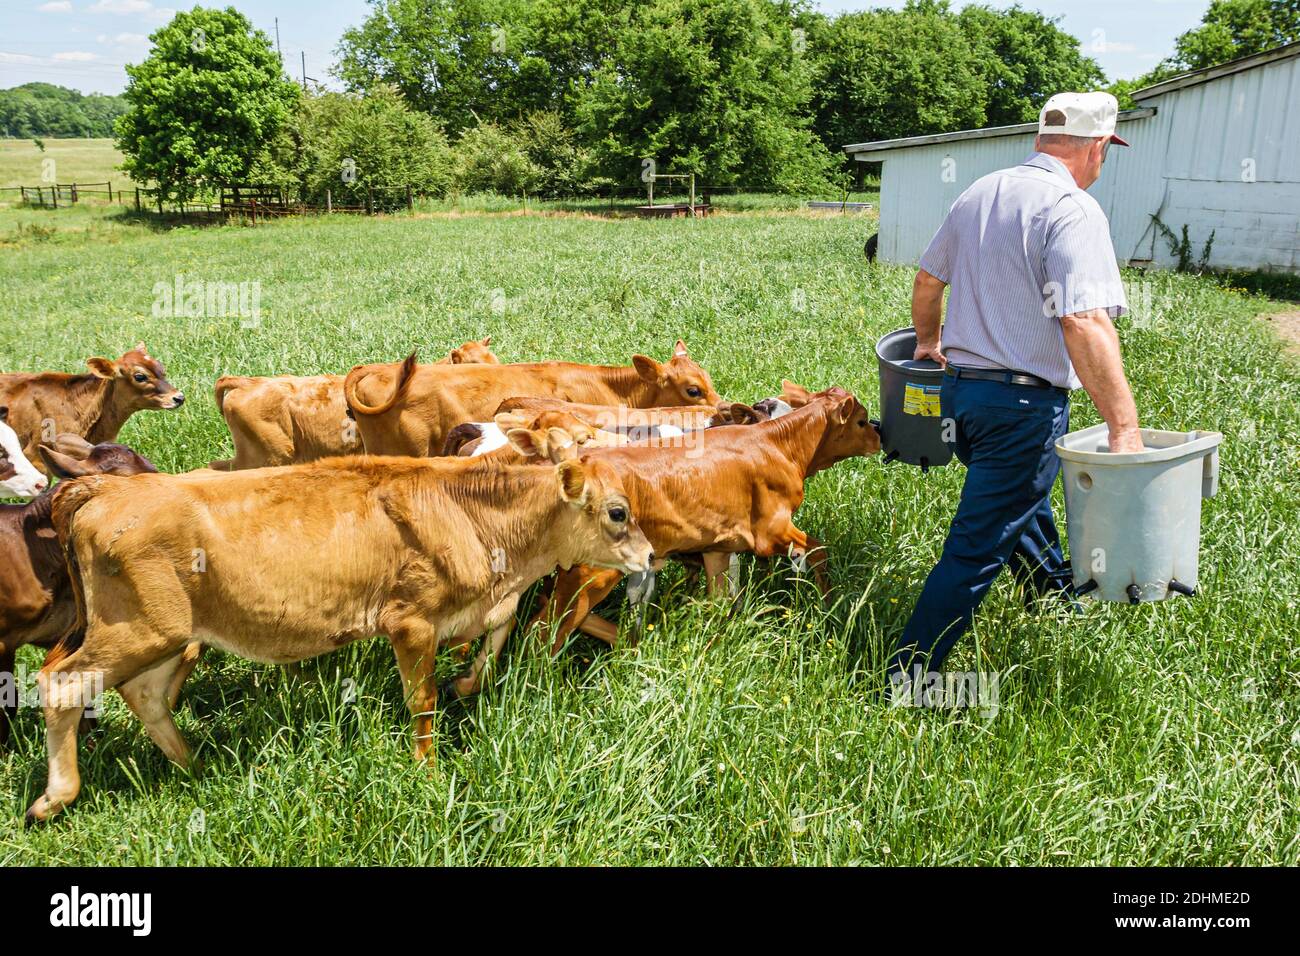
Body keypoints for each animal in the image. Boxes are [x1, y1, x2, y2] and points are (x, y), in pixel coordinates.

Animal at [24, 449, 654, 823]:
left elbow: (497, 636)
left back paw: (194, 769)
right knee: (62, 683)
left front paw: (468, 682)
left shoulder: (482, 605)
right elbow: (422, 701)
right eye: (618, 512)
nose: (650, 555)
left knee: (145, 695)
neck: (470, 513)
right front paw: (427, 772)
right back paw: (56, 797)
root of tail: (105, 490)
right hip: (137, 631)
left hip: (163, 636)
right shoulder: (411, 619)